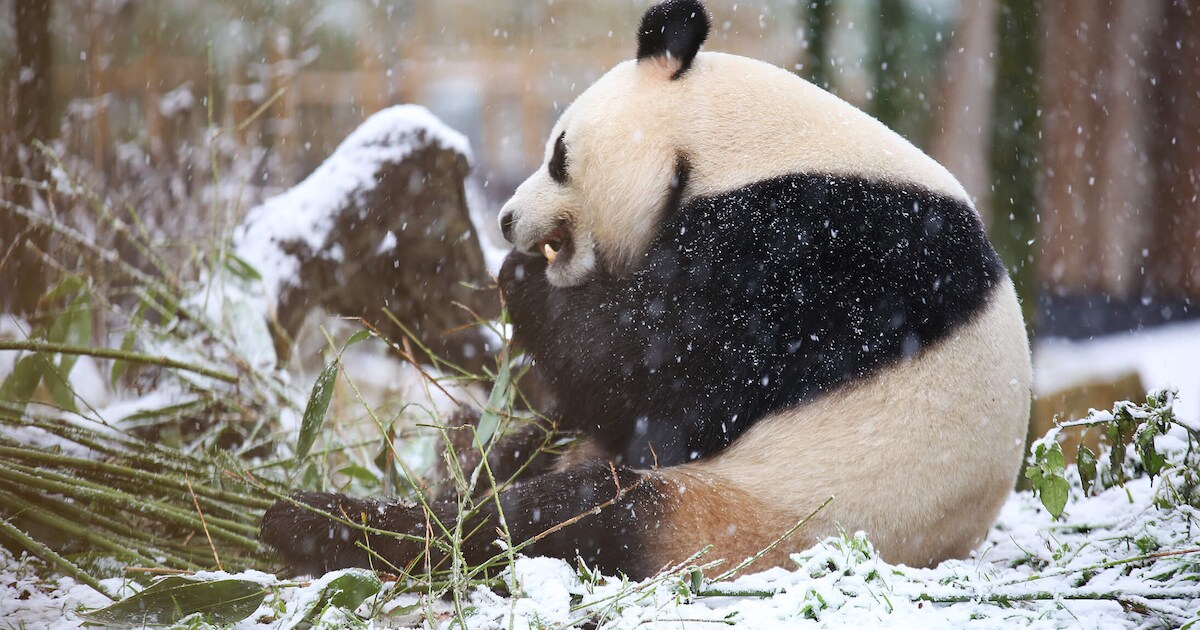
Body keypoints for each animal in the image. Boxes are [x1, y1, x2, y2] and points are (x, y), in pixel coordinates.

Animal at [261, 0, 1032, 580]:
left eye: (559, 155)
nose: (506, 219)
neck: (733, 142)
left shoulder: (810, 253)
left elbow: (660, 371)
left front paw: (524, 278)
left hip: (751, 511)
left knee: (572, 519)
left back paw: (320, 525)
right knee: (538, 447)